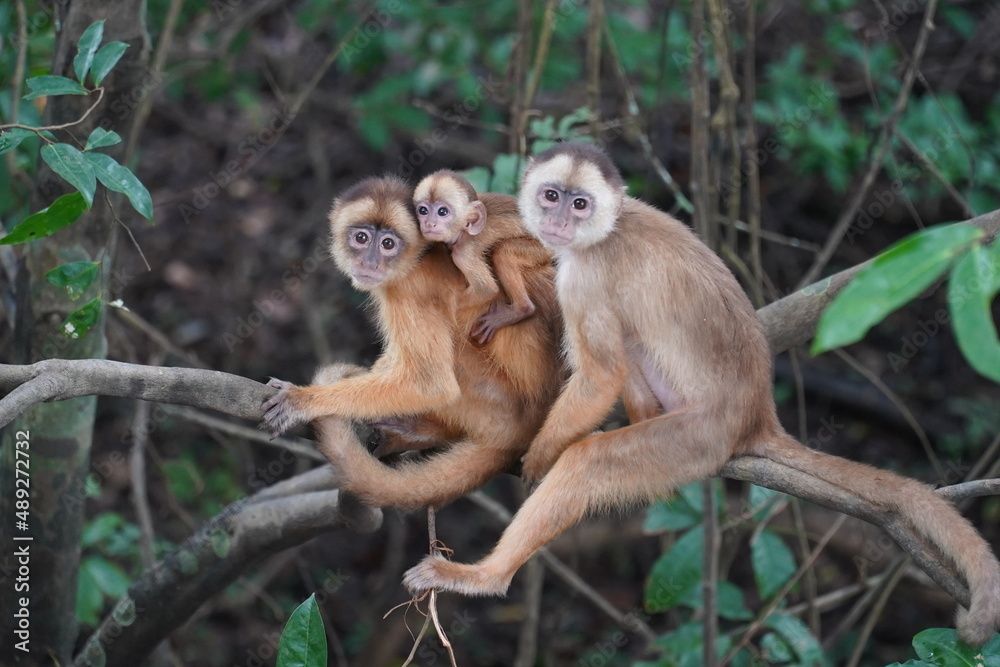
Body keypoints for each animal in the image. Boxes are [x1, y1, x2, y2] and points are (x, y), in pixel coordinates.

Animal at [414, 170, 552, 345]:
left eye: (442, 212)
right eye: (423, 211)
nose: (429, 223)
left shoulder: (463, 253)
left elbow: (486, 289)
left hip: (545, 249)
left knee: (503, 252)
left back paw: (522, 309)